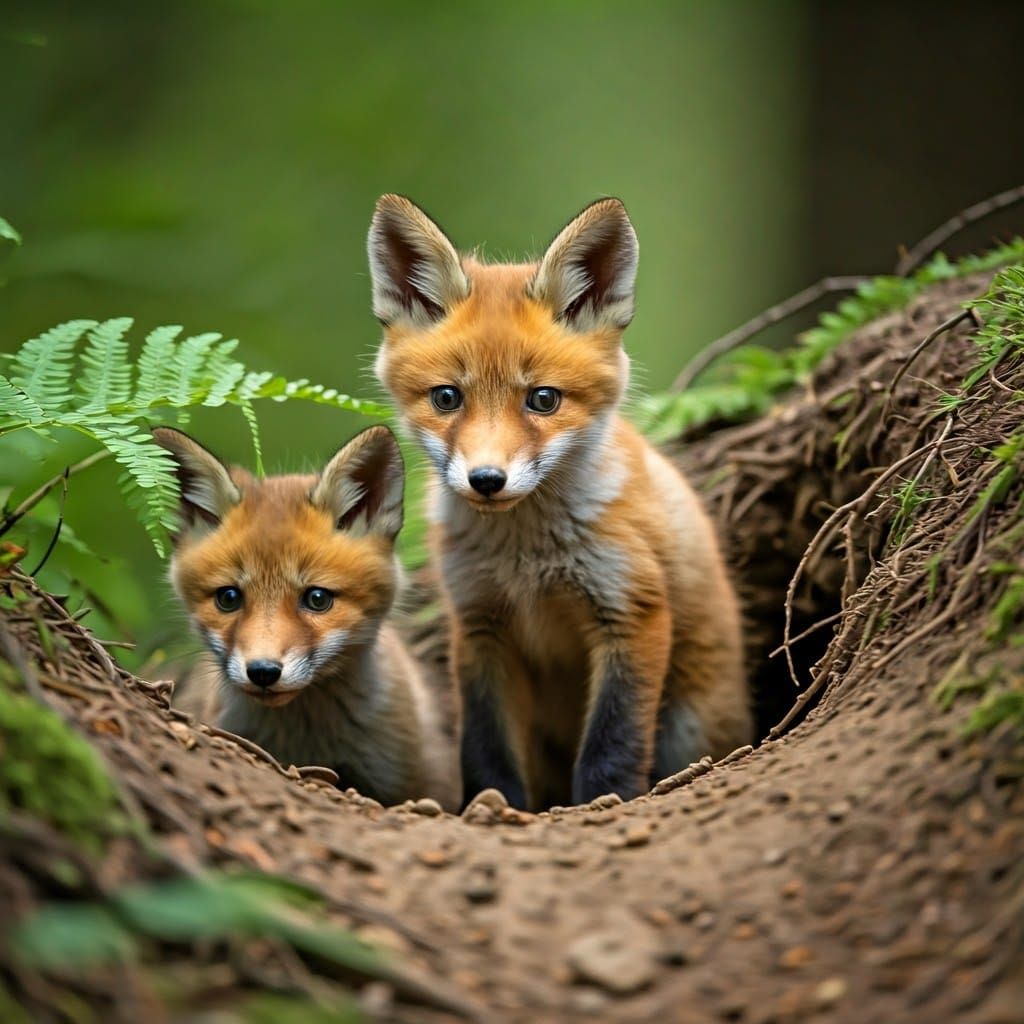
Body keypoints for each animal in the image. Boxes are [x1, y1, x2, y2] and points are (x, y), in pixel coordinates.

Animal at [367, 194, 752, 810]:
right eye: (447, 398)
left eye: (543, 400)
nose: (487, 479)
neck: (527, 562)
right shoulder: (479, 623)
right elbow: (486, 747)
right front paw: (492, 803)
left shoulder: (631, 609)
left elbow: (612, 743)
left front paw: (605, 800)